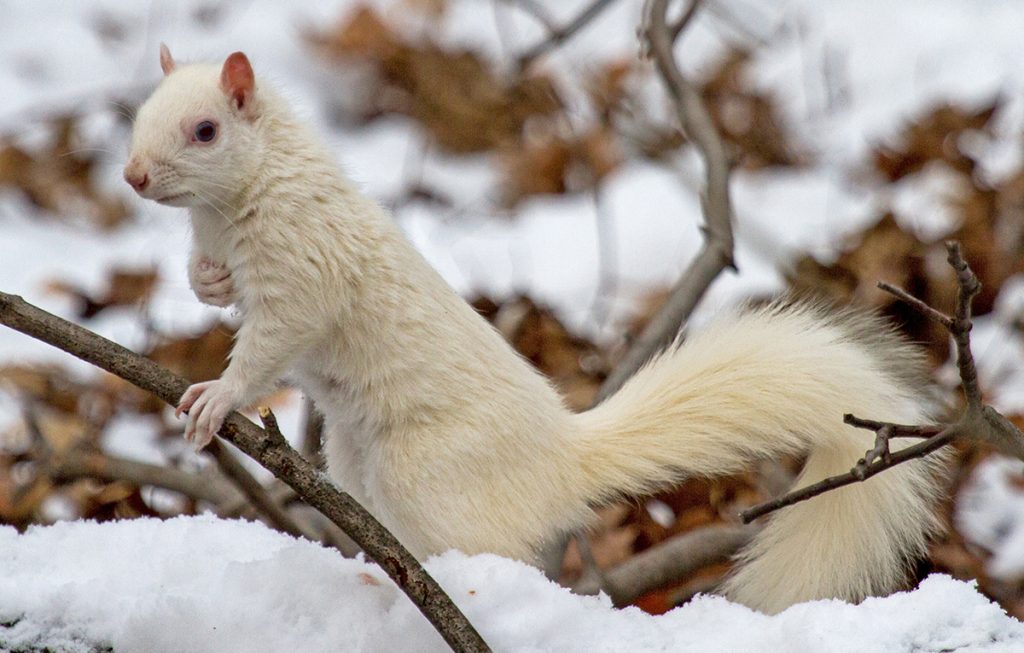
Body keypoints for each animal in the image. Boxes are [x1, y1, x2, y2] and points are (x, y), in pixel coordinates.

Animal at [123, 46, 946, 614]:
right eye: (137, 114)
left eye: (205, 130)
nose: (133, 177)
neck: (234, 203)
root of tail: (560, 462)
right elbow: (209, 281)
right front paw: (208, 282)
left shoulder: (306, 267)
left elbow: (276, 340)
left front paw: (218, 397)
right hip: (360, 465)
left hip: (428, 474)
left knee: (492, 552)